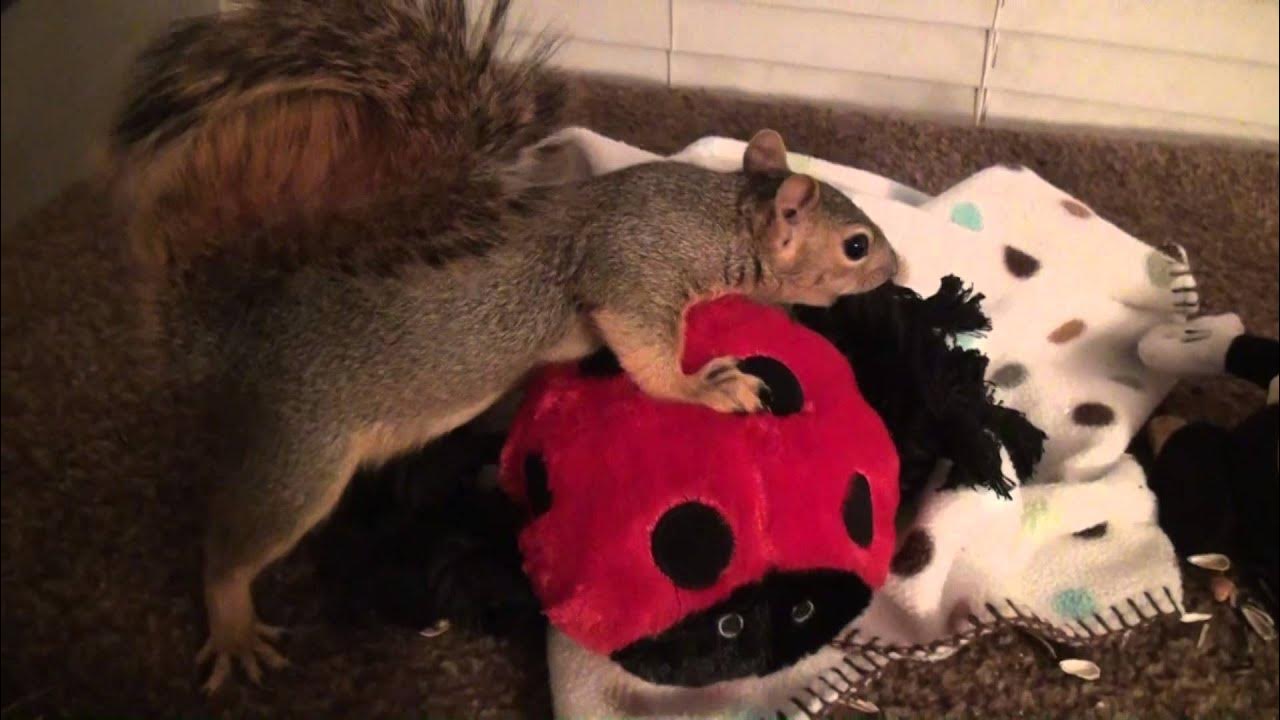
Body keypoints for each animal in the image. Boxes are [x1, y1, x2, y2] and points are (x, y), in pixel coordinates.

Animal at [110, 0, 898, 694]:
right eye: (857, 245)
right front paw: (707, 385)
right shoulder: (632, 274)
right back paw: (234, 626)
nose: (897, 271)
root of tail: (233, 341)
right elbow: (649, 359)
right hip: (302, 456)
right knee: (229, 548)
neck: (718, 218)